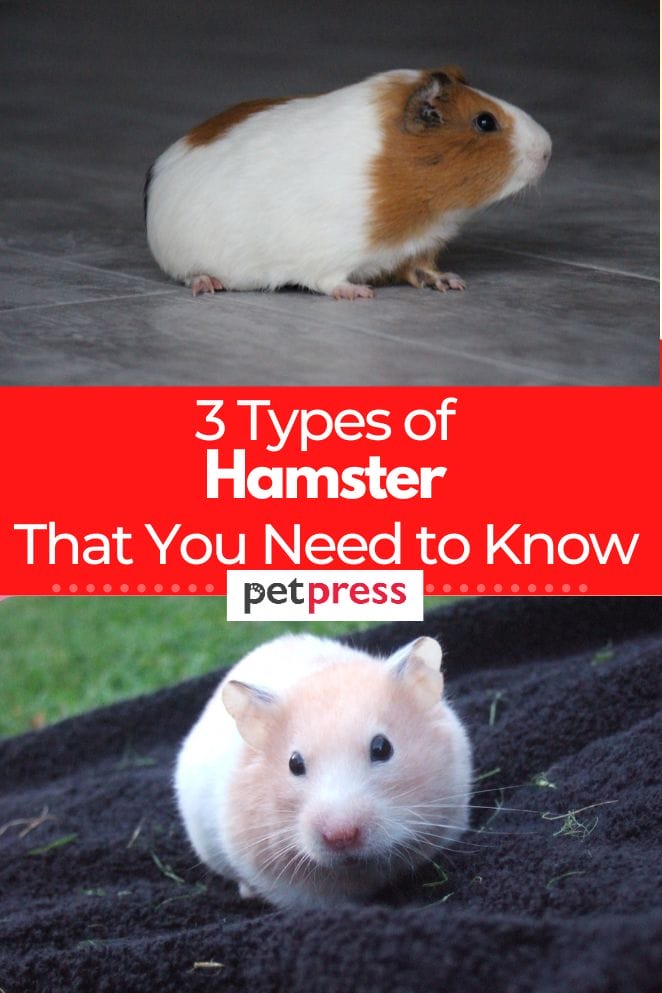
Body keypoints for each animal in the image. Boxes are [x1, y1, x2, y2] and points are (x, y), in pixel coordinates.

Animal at [145, 66, 551, 299]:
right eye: (485, 121)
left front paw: (452, 282)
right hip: (188, 260)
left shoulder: (419, 246)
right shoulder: (329, 256)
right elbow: (330, 282)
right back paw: (208, 286)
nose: (547, 148)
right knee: (191, 276)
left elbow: (423, 269)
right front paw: (359, 293)